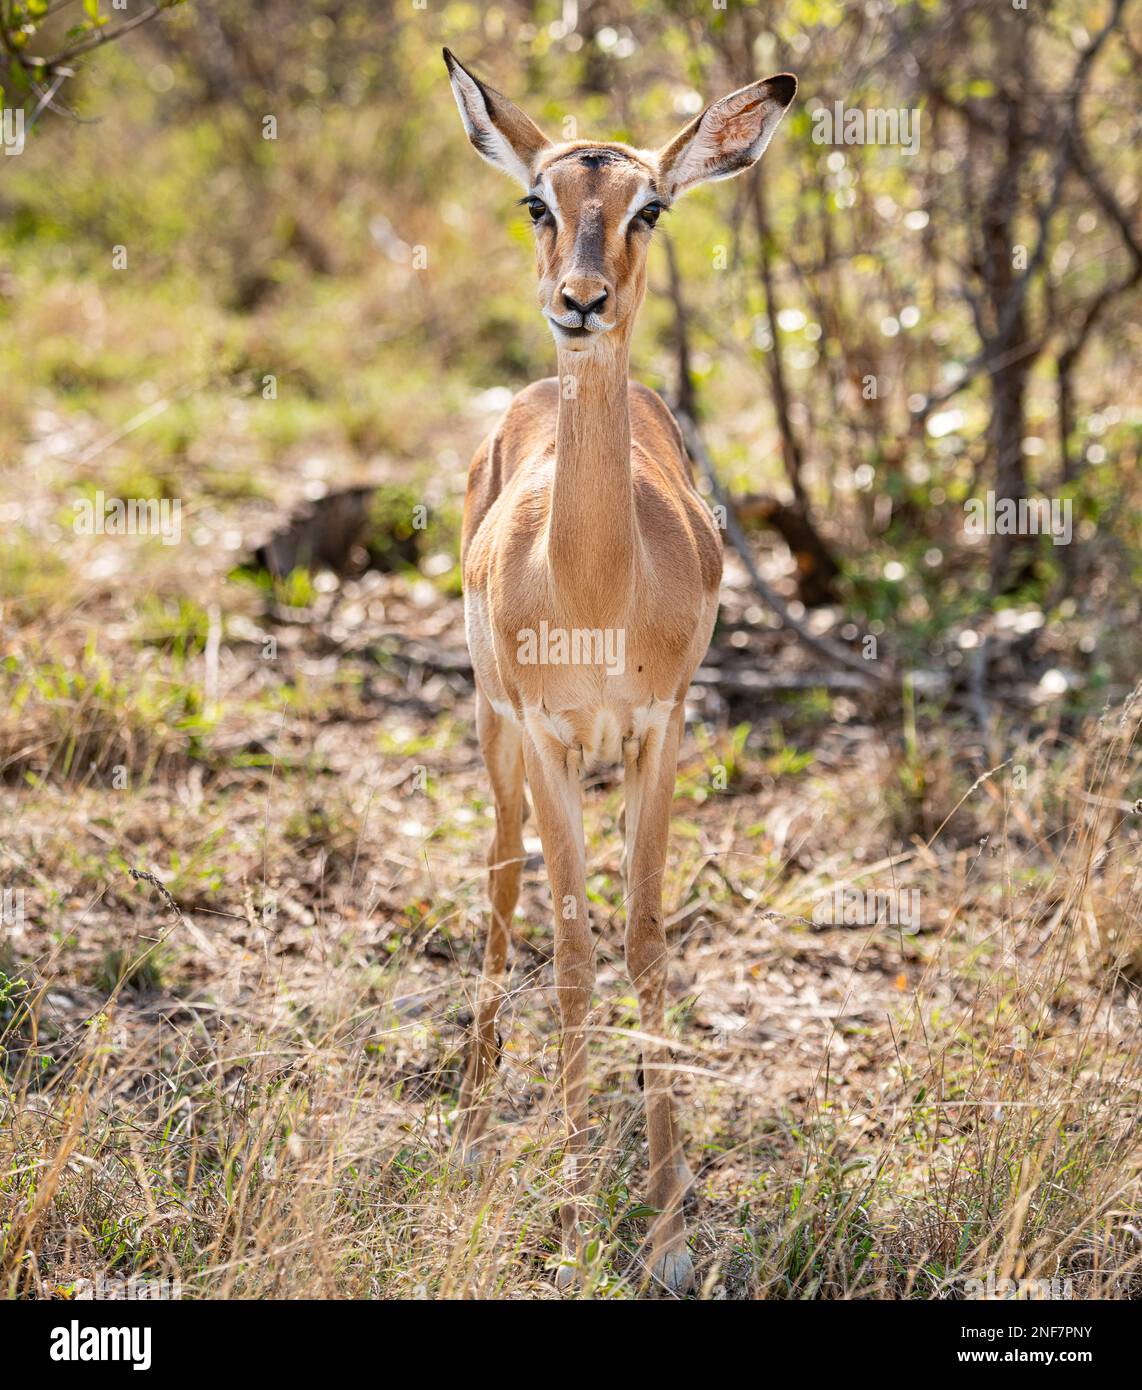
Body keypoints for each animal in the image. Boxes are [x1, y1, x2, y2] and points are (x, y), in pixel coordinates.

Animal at [445, 48, 797, 1293]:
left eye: (648, 206)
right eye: (534, 202)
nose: (581, 301)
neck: (595, 590)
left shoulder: (660, 727)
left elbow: (643, 944)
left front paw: (667, 1222)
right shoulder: (548, 740)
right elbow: (571, 957)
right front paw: (562, 1210)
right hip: (492, 731)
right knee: (503, 881)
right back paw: (475, 1120)